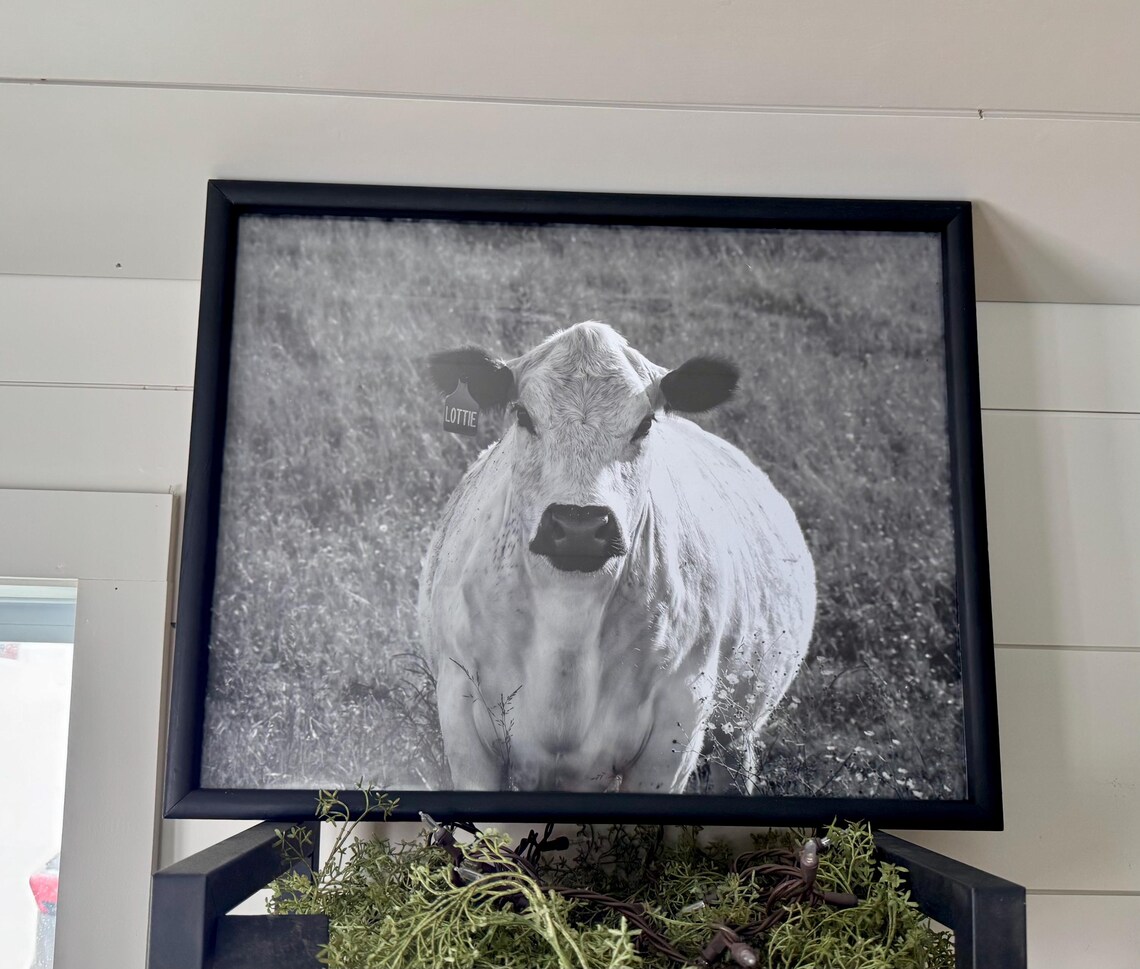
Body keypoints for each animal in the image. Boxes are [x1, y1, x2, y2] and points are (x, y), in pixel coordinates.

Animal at [418, 321, 815, 794]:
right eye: (524, 415)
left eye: (644, 424)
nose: (579, 526)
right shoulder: (462, 718)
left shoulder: (675, 735)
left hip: (738, 729)